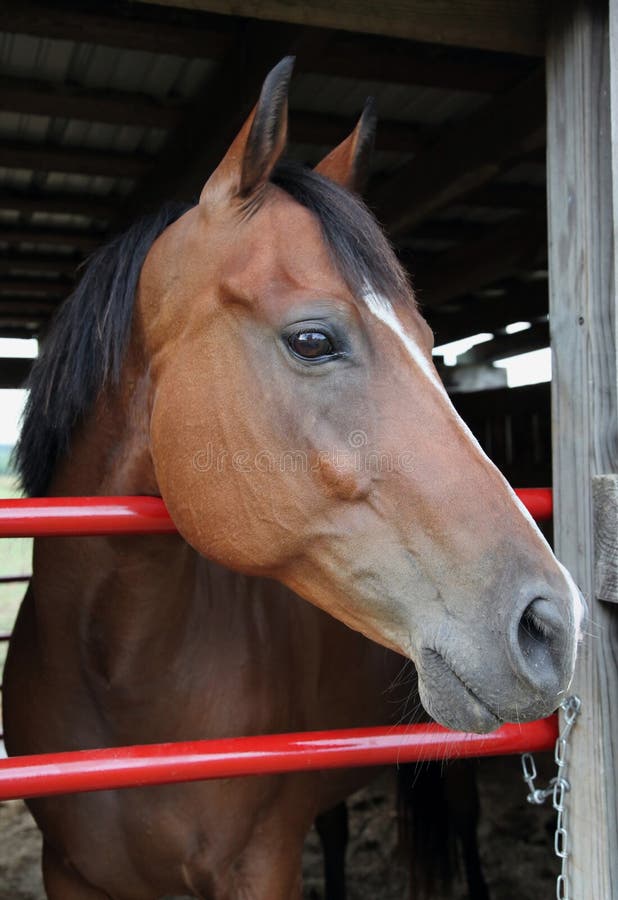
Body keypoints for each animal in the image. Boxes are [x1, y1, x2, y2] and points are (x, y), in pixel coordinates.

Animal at [3, 57, 584, 900]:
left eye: (430, 342)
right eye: (313, 340)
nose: (554, 624)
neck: (117, 679)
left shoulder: (260, 864)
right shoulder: (70, 873)